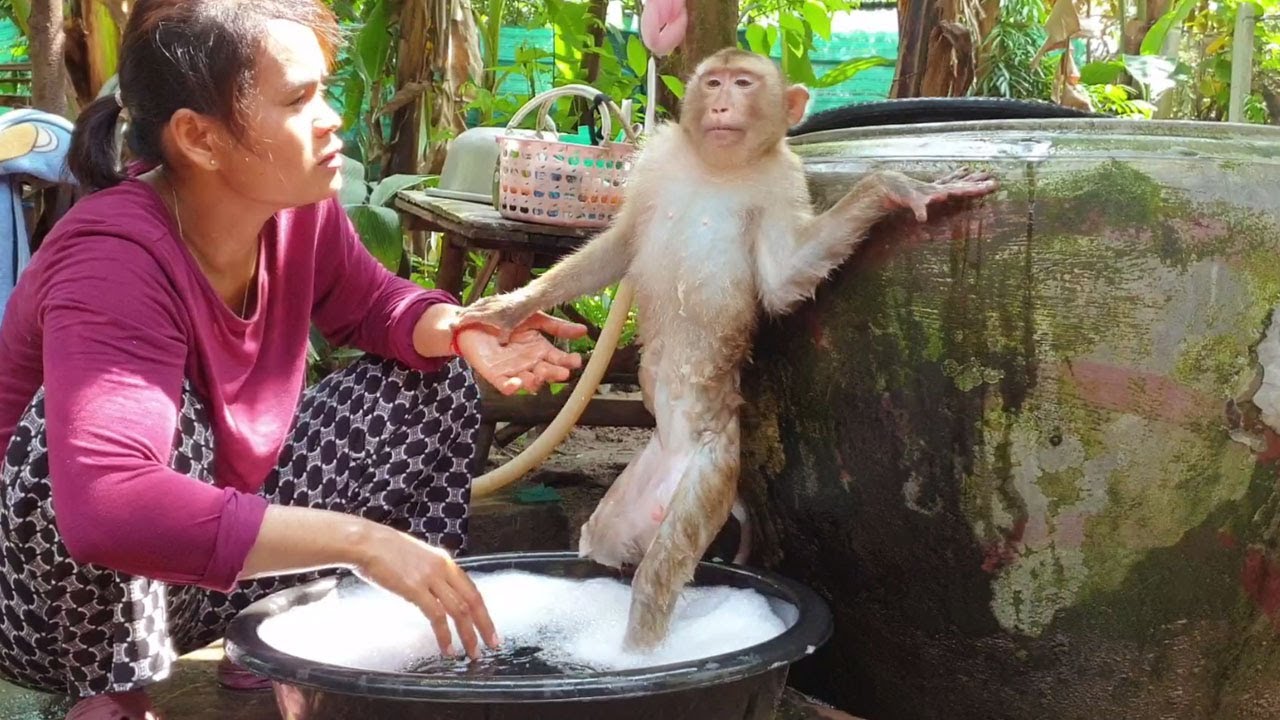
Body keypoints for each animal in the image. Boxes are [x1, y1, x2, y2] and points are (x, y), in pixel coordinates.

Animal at [457, 47, 999, 650]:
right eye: (713, 82)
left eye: (743, 83)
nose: (720, 104)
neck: (718, 167)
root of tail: (673, 455)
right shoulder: (659, 162)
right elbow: (619, 246)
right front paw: (509, 310)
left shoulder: (783, 177)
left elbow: (784, 278)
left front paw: (894, 187)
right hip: (642, 492)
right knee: (601, 541)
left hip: (711, 473)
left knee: (660, 570)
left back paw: (639, 644)